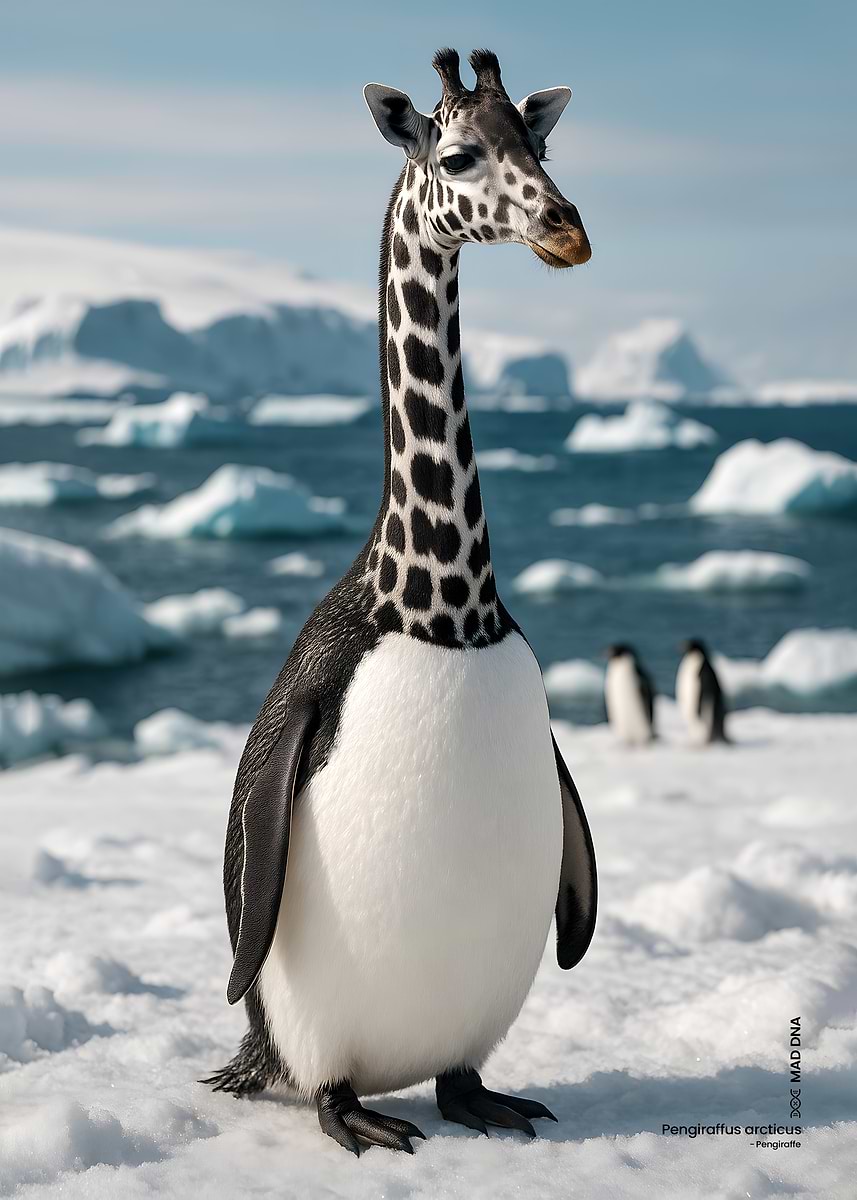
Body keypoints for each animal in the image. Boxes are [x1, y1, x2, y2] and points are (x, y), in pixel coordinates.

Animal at [207, 48, 596, 1157]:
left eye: (538, 143)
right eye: (458, 154)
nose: (563, 224)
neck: (445, 601)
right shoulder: (312, 688)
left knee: (457, 1070)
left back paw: (484, 1100)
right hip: (298, 1033)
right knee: (322, 1075)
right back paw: (358, 1115)